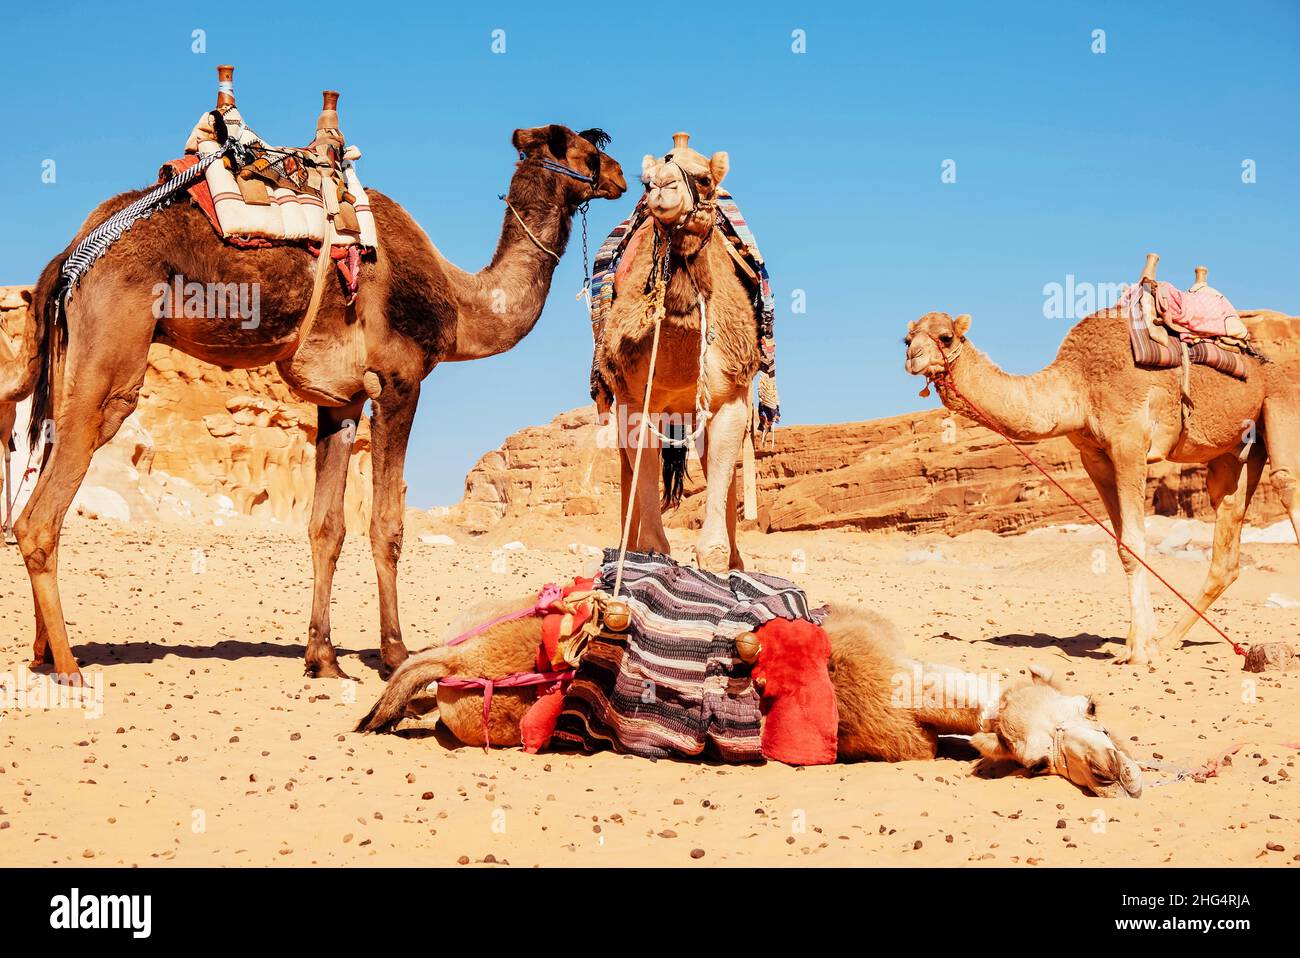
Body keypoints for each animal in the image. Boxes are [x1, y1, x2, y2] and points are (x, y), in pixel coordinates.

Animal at [3, 122, 626, 681]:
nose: (621, 175)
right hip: (112, 358)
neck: (458, 303)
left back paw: (41, 654)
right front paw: (395, 654)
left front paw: (322, 658)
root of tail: (71, 253)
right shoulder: (398, 380)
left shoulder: (341, 400)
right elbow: (386, 524)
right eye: (585, 149)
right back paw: (68, 667)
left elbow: (326, 528)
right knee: (38, 517)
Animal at [598, 133, 759, 572]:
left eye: (704, 179)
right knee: (627, 472)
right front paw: (647, 550)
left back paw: (737, 558)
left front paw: (721, 561)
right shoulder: (632, 400)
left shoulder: (732, 396)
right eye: (645, 181)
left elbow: (720, 472)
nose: (663, 190)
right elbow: (643, 472)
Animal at [904, 305, 1300, 668]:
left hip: (1280, 400)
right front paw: (1142, 644)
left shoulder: (1130, 442)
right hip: (1235, 449)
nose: (912, 358)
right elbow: (1122, 546)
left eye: (945, 337)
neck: (1079, 385)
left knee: (1285, 480)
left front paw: (1138, 651)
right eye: (907, 338)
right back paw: (1169, 642)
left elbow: (1134, 545)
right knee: (1226, 524)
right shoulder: (1093, 456)